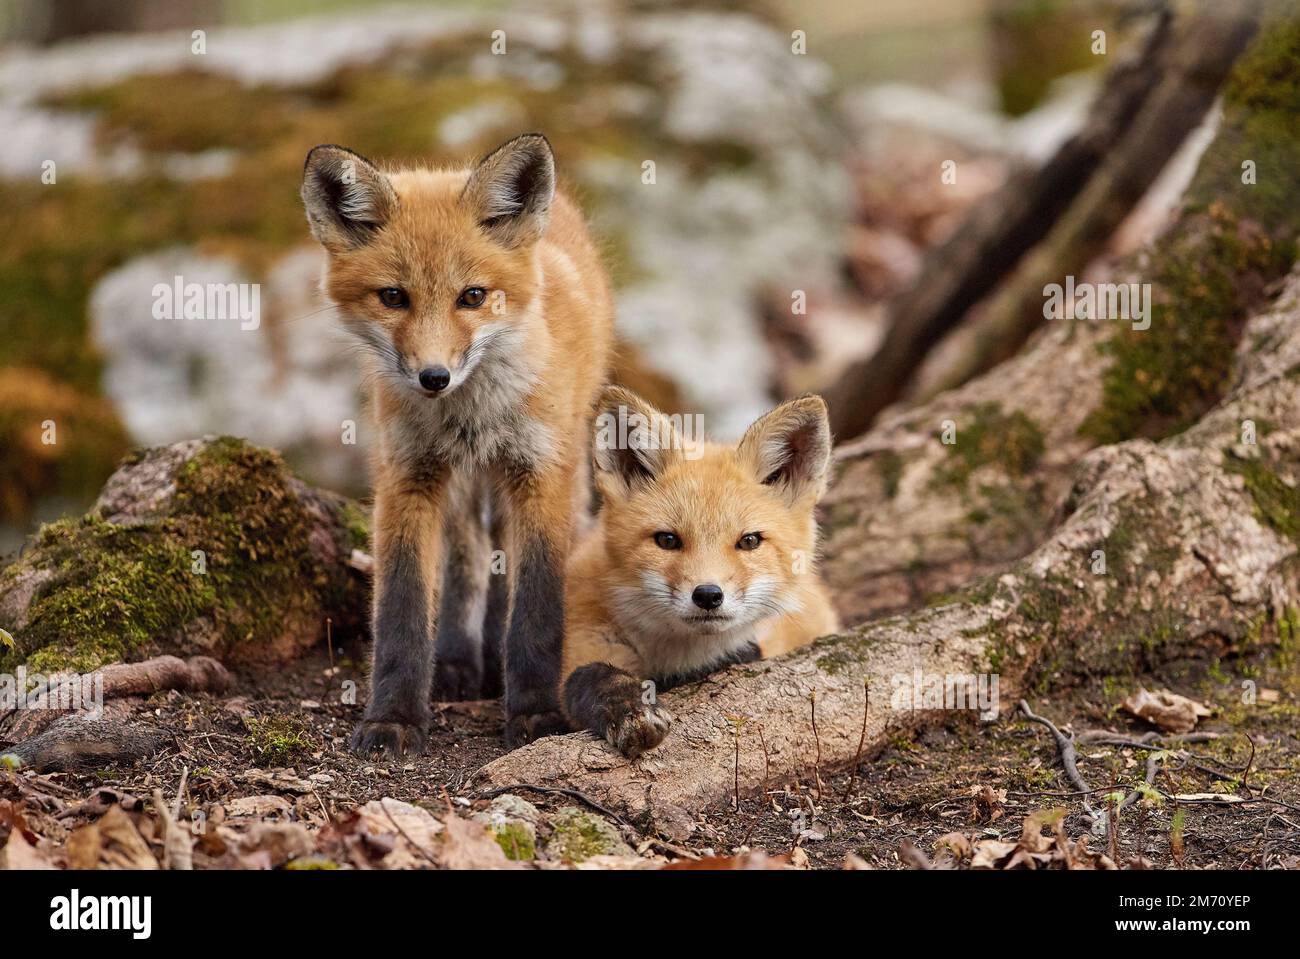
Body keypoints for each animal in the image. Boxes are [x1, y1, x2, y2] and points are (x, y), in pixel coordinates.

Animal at [301, 133, 614, 755]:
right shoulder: (407, 476)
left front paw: (536, 712)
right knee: (468, 556)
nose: (434, 377)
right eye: (392, 296)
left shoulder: (539, 473)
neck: (471, 415)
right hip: (464, 483)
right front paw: (394, 717)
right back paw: (458, 661)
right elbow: (401, 606)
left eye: (472, 296)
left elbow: (536, 607)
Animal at [561, 386, 840, 758]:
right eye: (667, 540)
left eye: (749, 541)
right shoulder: (582, 640)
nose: (708, 596)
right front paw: (632, 710)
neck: (678, 656)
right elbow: (592, 677)